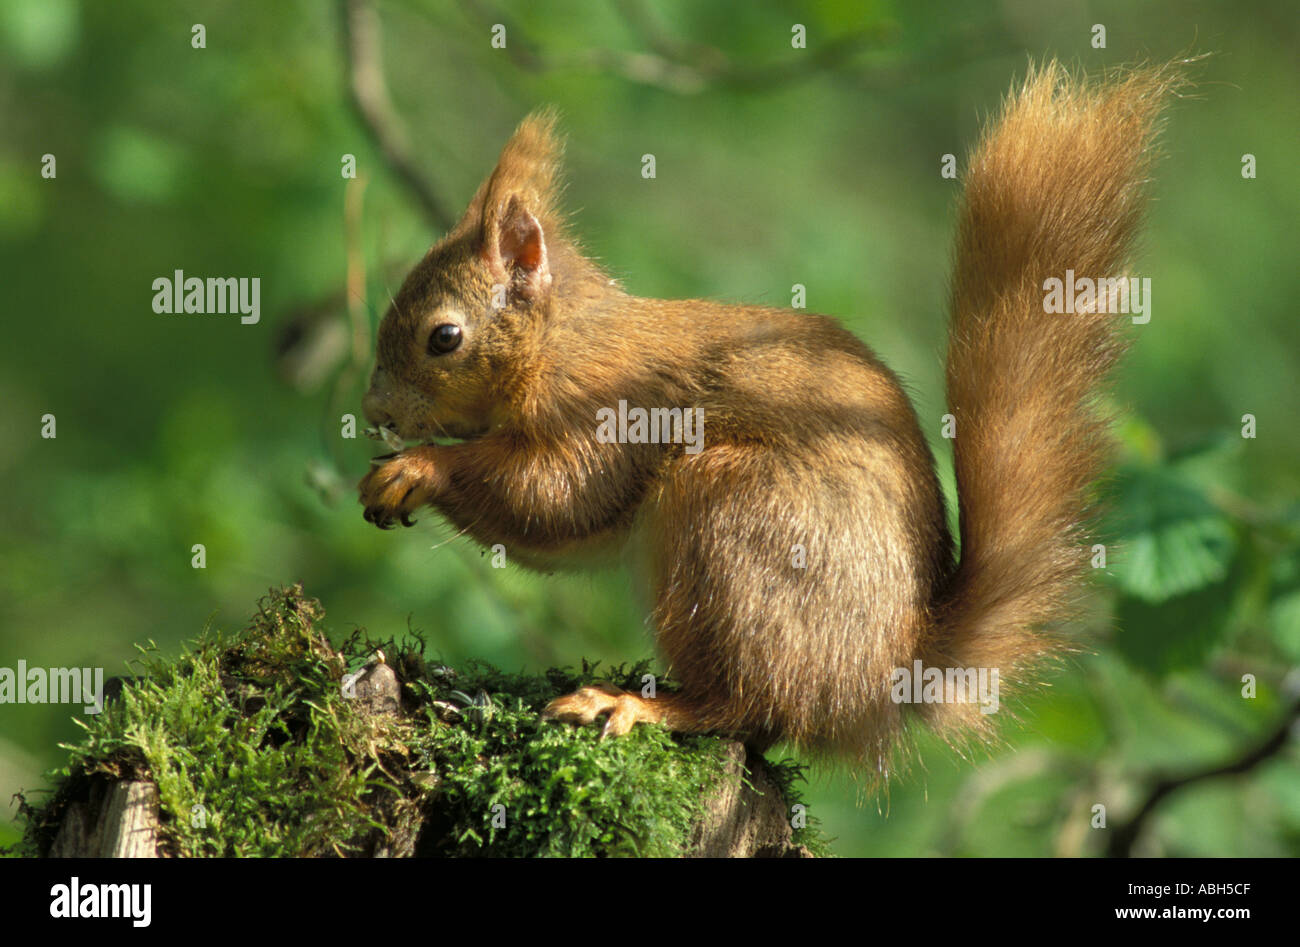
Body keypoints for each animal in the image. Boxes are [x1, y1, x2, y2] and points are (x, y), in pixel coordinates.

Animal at [358, 60, 1185, 773]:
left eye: (443, 338)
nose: (374, 413)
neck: (563, 342)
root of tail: (885, 676)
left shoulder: (606, 410)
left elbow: (554, 496)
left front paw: (418, 469)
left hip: (732, 519)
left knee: (750, 707)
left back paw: (639, 704)